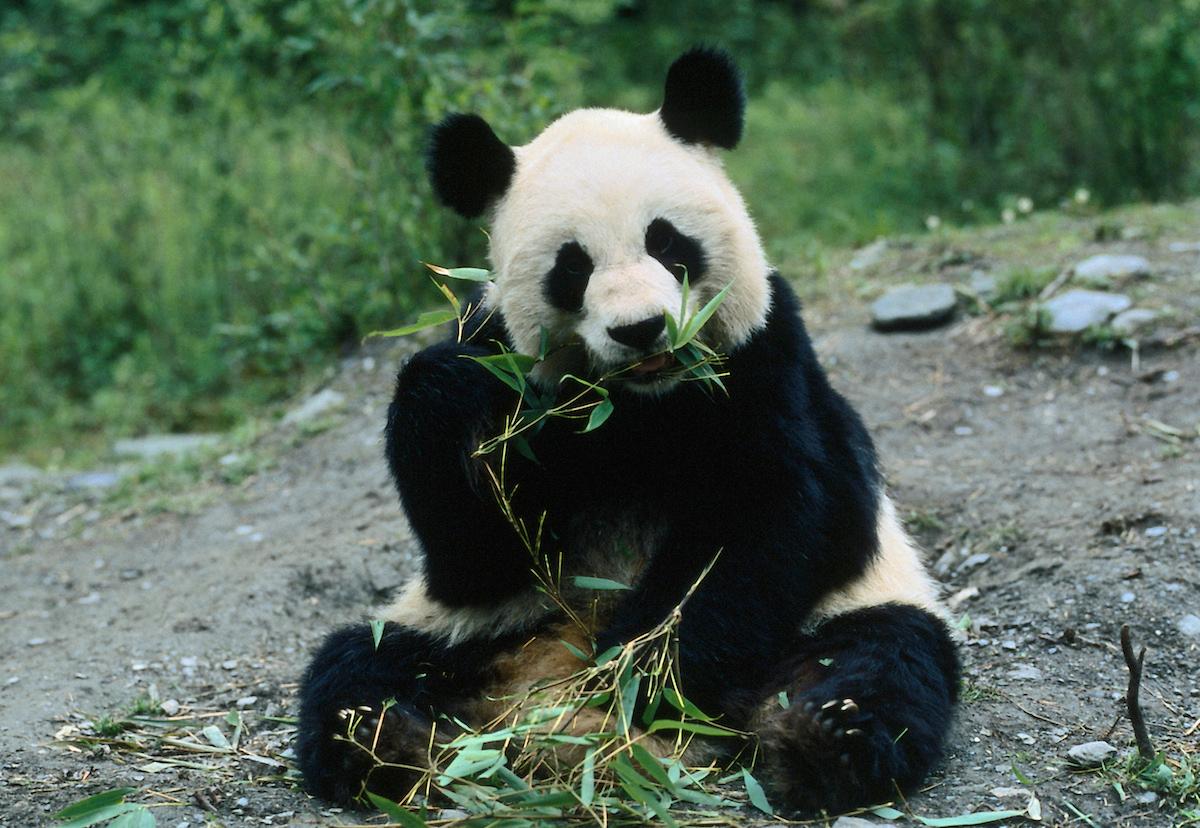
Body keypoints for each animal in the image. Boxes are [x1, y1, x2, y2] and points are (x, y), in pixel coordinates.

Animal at [296, 48, 960, 814]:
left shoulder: (763, 361)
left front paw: (636, 679)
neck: (640, 404)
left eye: (668, 242)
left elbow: (761, 521)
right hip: (463, 632)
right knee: (358, 666)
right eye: (572, 267)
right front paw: (452, 389)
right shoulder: (514, 381)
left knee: (879, 661)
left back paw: (812, 739)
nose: (641, 329)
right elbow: (473, 553)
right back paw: (389, 741)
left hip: (851, 605)